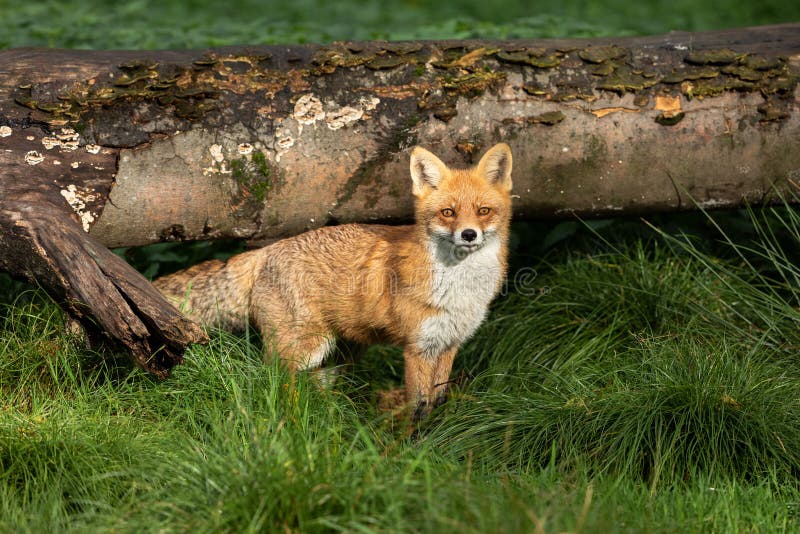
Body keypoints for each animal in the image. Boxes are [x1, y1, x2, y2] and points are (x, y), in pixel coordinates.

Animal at [154, 143, 513, 418]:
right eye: (448, 213)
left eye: (483, 211)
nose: (469, 234)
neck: (459, 288)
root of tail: (267, 250)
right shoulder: (417, 349)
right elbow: (417, 410)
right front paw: (412, 448)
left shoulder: (448, 345)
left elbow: (436, 404)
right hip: (304, 349)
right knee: (275, 384)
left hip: (341, 353)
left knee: (314, 386)